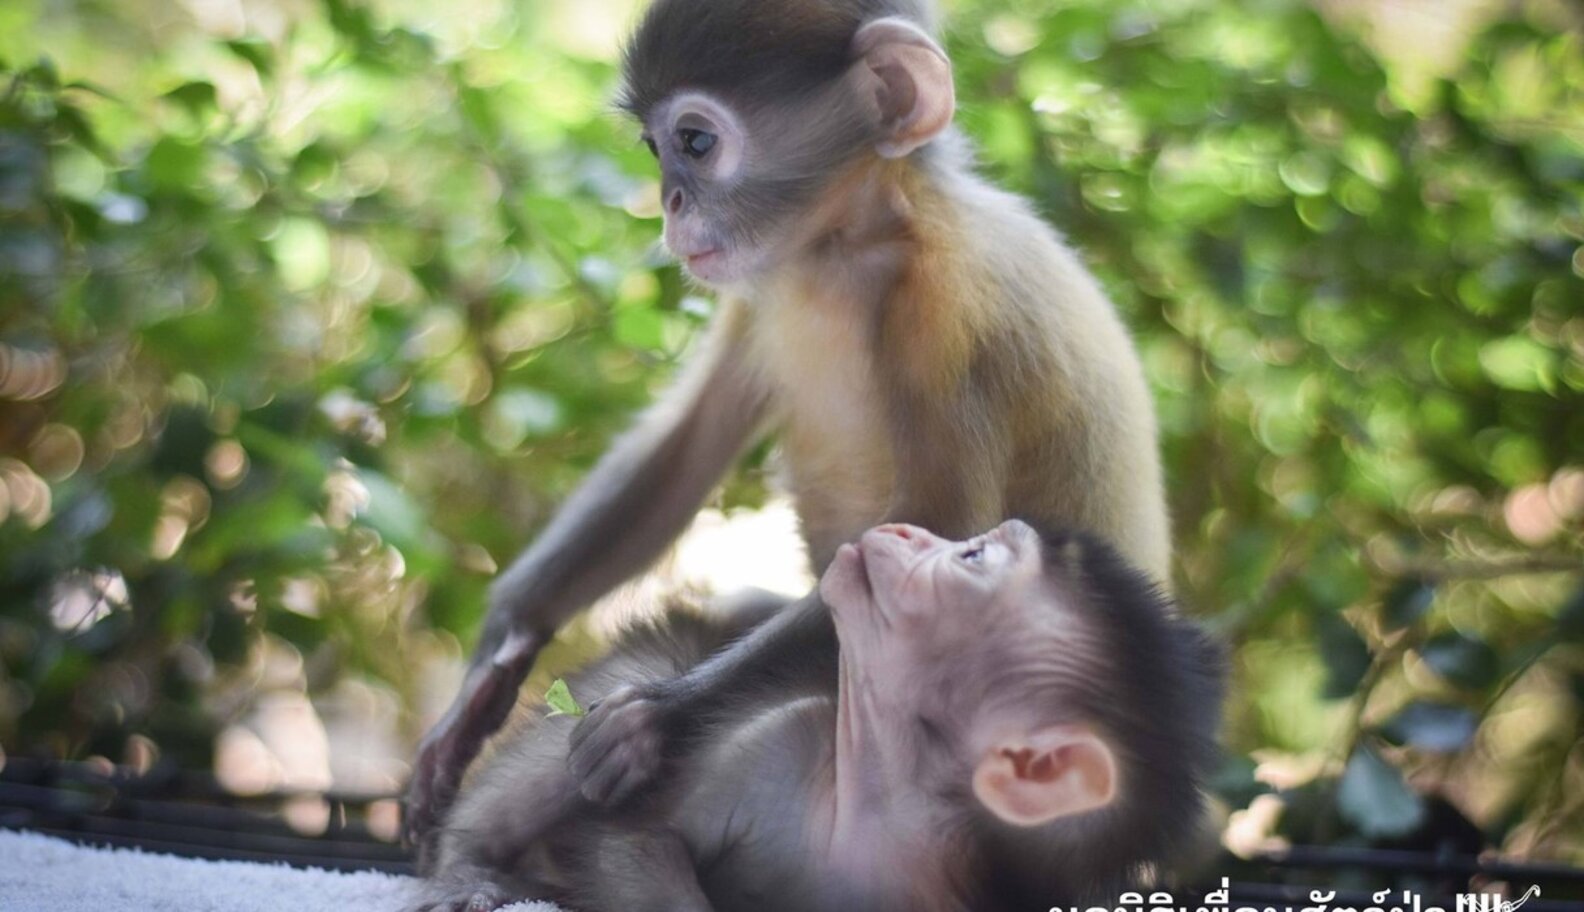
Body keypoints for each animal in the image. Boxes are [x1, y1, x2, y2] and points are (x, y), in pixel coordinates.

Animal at [405, 0, 1172, 842]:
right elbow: (683, 453)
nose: (670, 203)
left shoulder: (949, 309)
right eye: (655, 150)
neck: (847, 244)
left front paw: (658, 717)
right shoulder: (757, 285)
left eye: (695, 143)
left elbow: (926, 544)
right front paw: (493, 664)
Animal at [405, 520, 1224, 912]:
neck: (890, 802)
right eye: (973, 538)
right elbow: (627, 838)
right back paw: (467, 861)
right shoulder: (779, 742)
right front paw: (656, 720)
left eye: (971, 559)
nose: (907, 531)